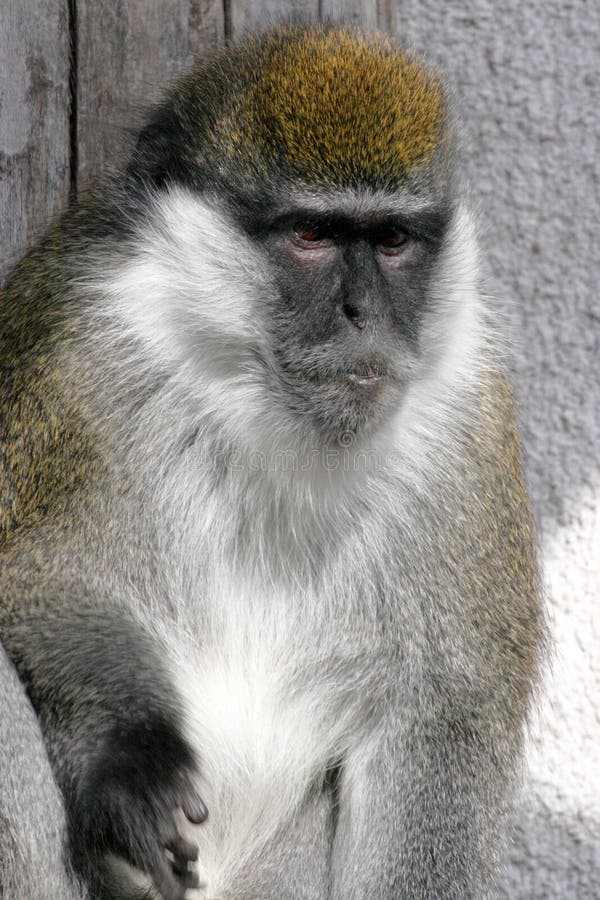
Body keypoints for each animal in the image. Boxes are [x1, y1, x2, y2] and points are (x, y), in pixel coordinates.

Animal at [0, 22, 544, 900]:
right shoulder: (73, 347)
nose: (363, 314)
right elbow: (41, 575)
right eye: (311, 235)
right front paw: (131, 765)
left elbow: (445, 715)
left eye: (393, 241)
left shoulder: (469, 424)